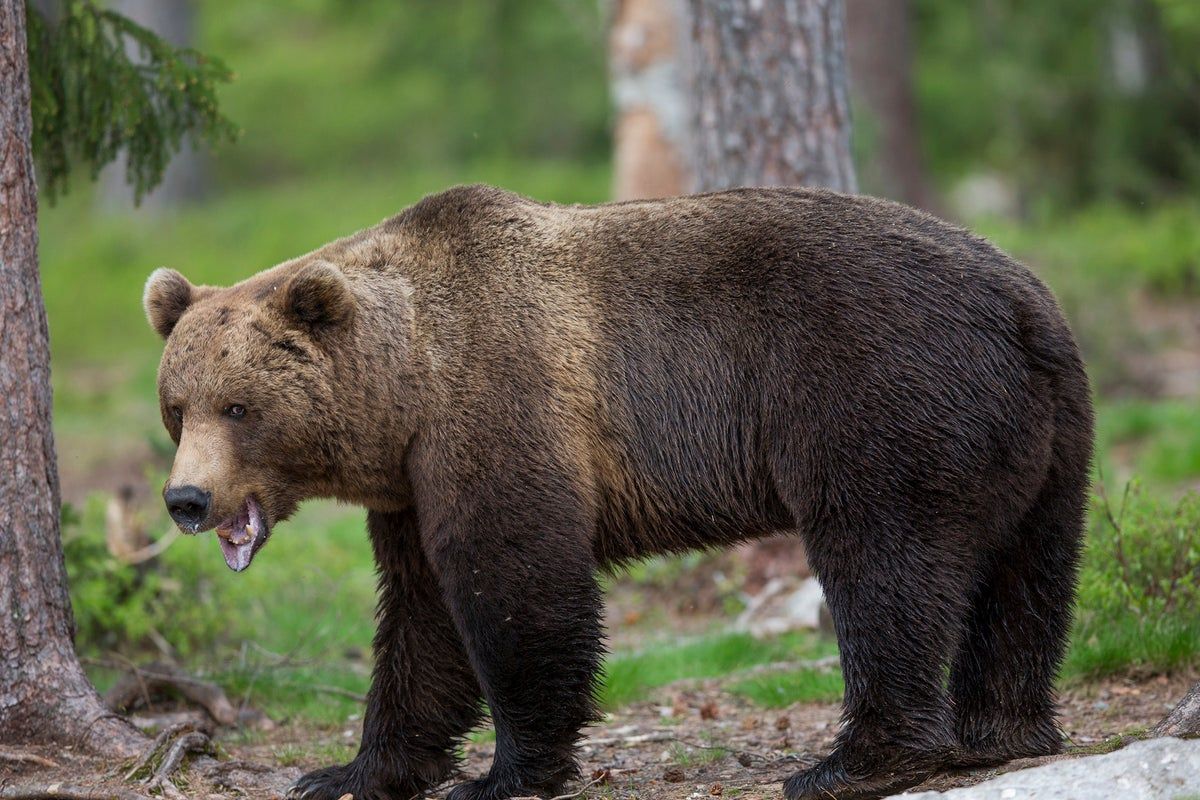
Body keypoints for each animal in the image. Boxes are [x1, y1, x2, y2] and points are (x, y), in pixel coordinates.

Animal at [143, 184, 1093, 800]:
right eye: (176, 406)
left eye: (239, 405)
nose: (186, 499)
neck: (406, 386)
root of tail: (1024, 302)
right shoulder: (412, 486)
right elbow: (420, 616)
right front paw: (349, 771)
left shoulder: (500, 407)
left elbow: (515, 584)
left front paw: (507, 772)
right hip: (1045, 436)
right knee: (1028, 576)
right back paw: (1003, 730)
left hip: (879, 394)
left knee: (883, 565)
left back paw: (851, 762)